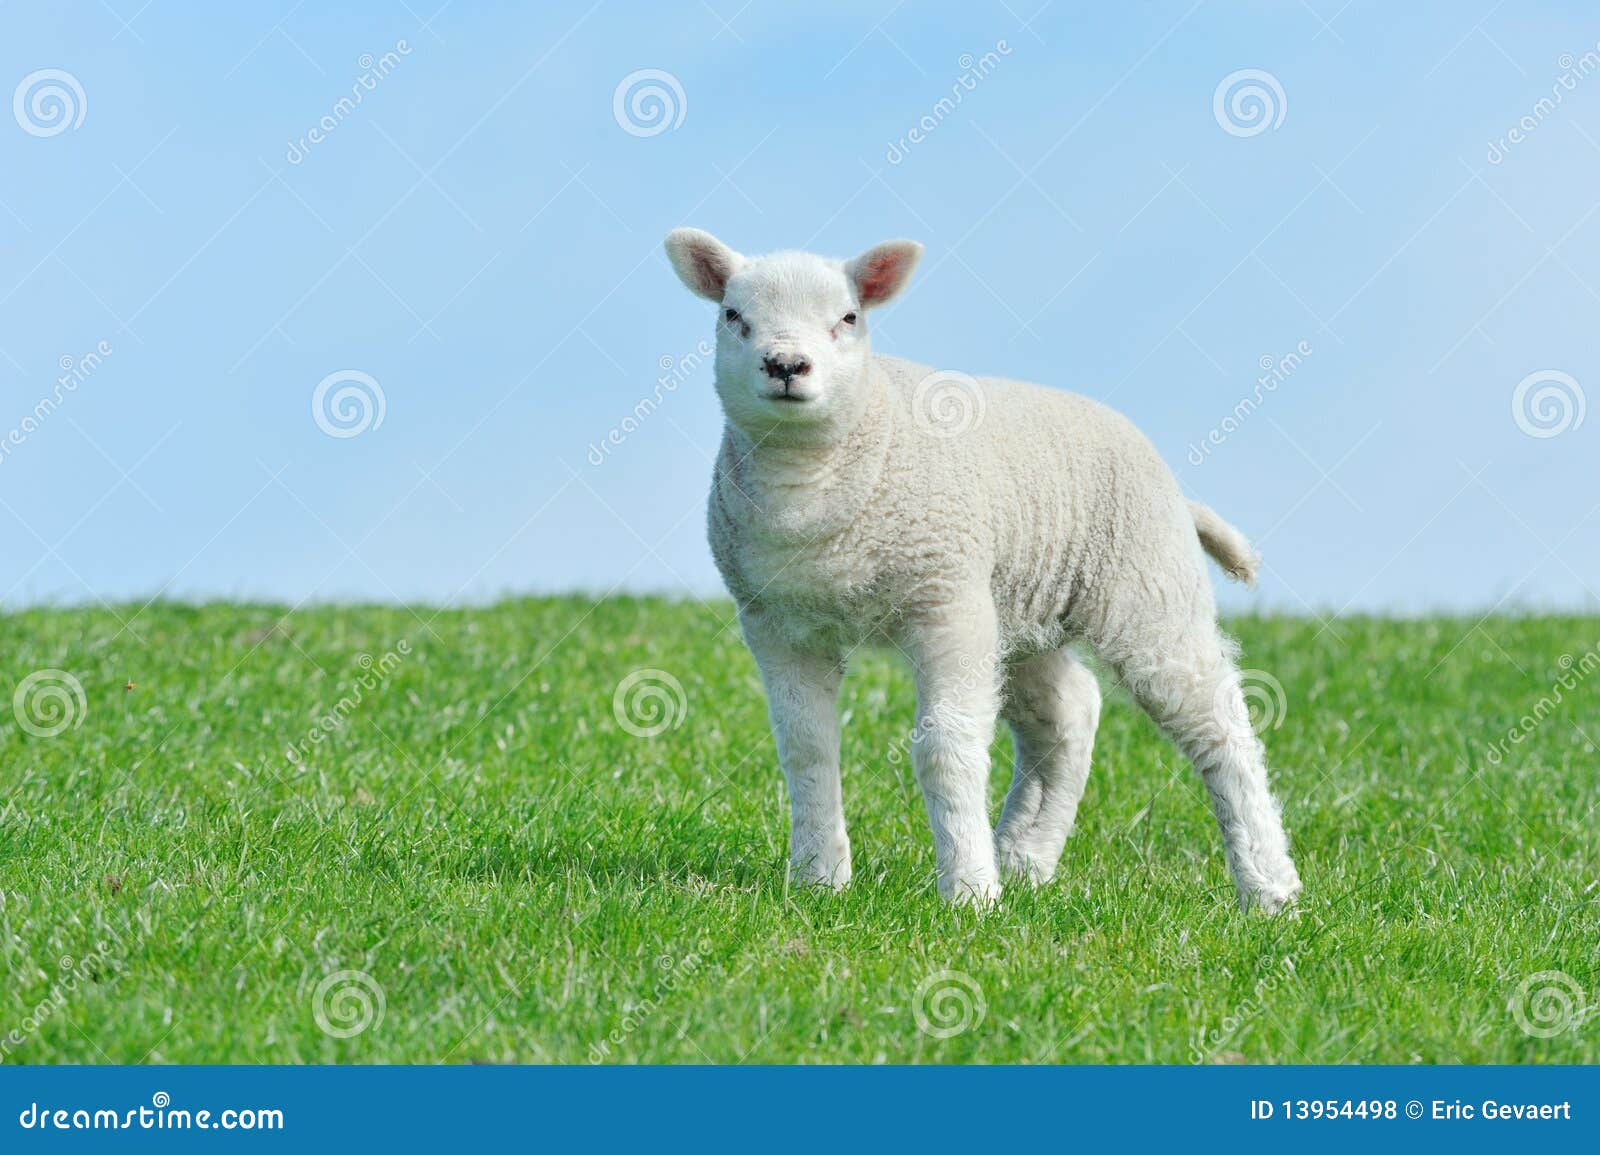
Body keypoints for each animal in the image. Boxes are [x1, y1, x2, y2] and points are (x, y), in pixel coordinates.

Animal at [663, 227, 1302, 914]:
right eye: (734, 316)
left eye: (849, 318)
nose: (786, 366)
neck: (811, 490)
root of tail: (1175, 489)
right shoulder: (777, 622)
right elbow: (807, 748)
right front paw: (818, 880)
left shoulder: (948, 602)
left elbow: (946, 749)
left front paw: (969, 894)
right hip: (1020, 611)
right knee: (1069, 714)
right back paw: (1024, 858)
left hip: (1147, 589)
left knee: (1220, 724)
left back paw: (1270, 887)